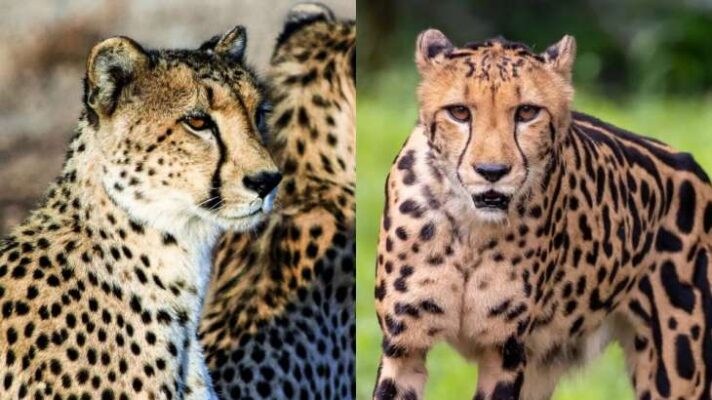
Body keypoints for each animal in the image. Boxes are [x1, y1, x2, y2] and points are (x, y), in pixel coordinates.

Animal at [372, 29, 712, 400]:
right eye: (459, 112)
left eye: (527, 112)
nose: (492, 171)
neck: (472, 231)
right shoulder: (404, 345)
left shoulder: (504, 352)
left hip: (676, 374)